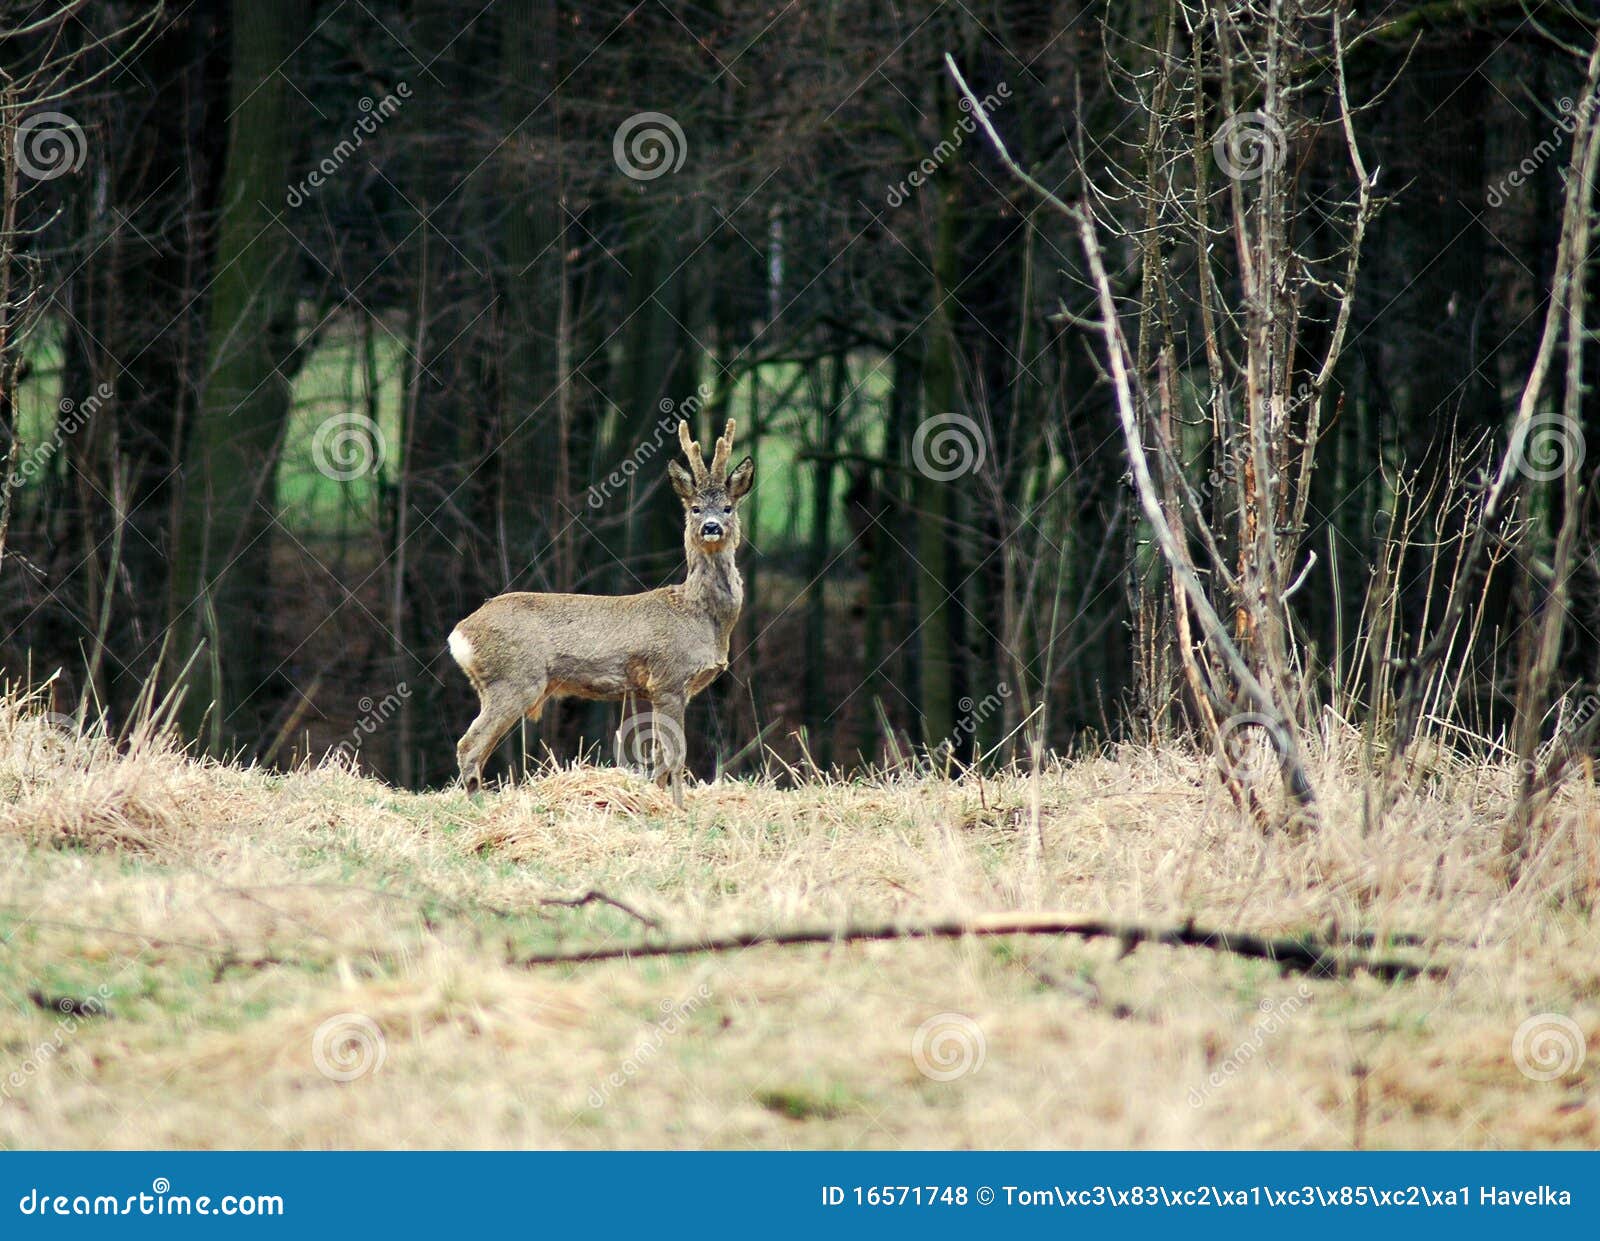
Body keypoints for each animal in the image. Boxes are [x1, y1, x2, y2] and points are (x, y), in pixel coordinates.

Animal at [448, 419, 754, 807]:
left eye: (728, 507)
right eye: (696, 508)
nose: (711, 527)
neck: (701, 617)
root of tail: (459, 633)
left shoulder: (663, 689)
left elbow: (660, 760)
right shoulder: (668, 679)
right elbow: (675, 756)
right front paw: (678, 809)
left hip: (497, 684)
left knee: (476, 747)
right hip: (515, 678)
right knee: (469, 745)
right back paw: (479, 806)